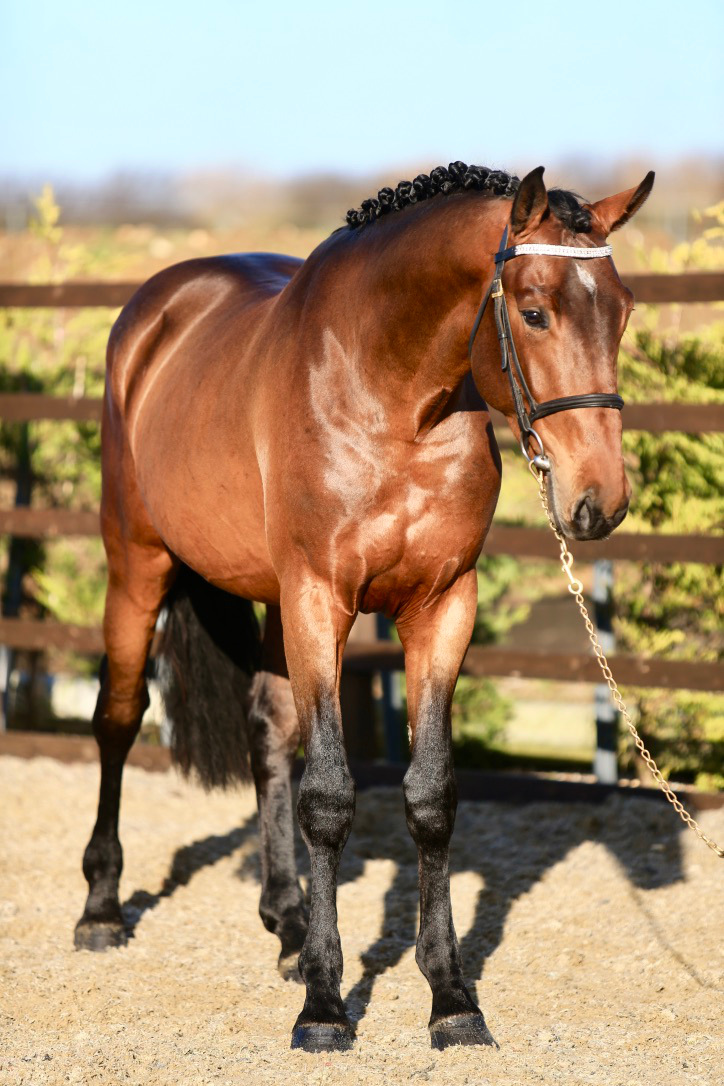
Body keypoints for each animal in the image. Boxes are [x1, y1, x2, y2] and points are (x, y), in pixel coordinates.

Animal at [74, 161, 654, 1052]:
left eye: (621, 310)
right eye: (534, 310)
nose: (601, 500)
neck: (390, 398)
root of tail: (158, 309)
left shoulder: (442, 605)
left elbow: (430, 795)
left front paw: (451, 998)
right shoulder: (321, 599)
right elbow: (328, 796)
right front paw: (323, 1006)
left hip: (270, 599)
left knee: (267, 729)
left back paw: (285, 921)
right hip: (138, 565)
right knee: (119, 714)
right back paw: (103, 908)